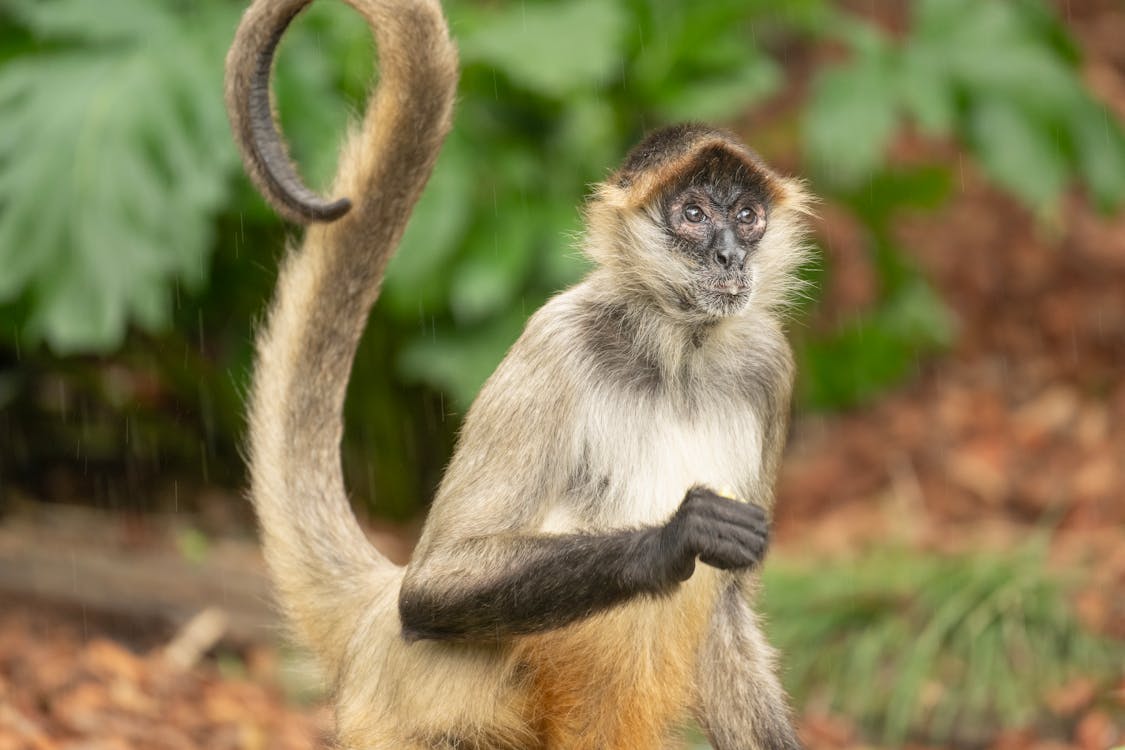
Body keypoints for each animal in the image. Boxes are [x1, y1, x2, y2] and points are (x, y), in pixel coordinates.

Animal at [225, 0, 812, 748]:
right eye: (692, 214)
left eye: (746, 214)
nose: (730, 254)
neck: (679, 357)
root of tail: (373, 621)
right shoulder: (557, 338)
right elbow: (433, 587)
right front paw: (678, 535)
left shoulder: (768, 362)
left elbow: (729, 608)